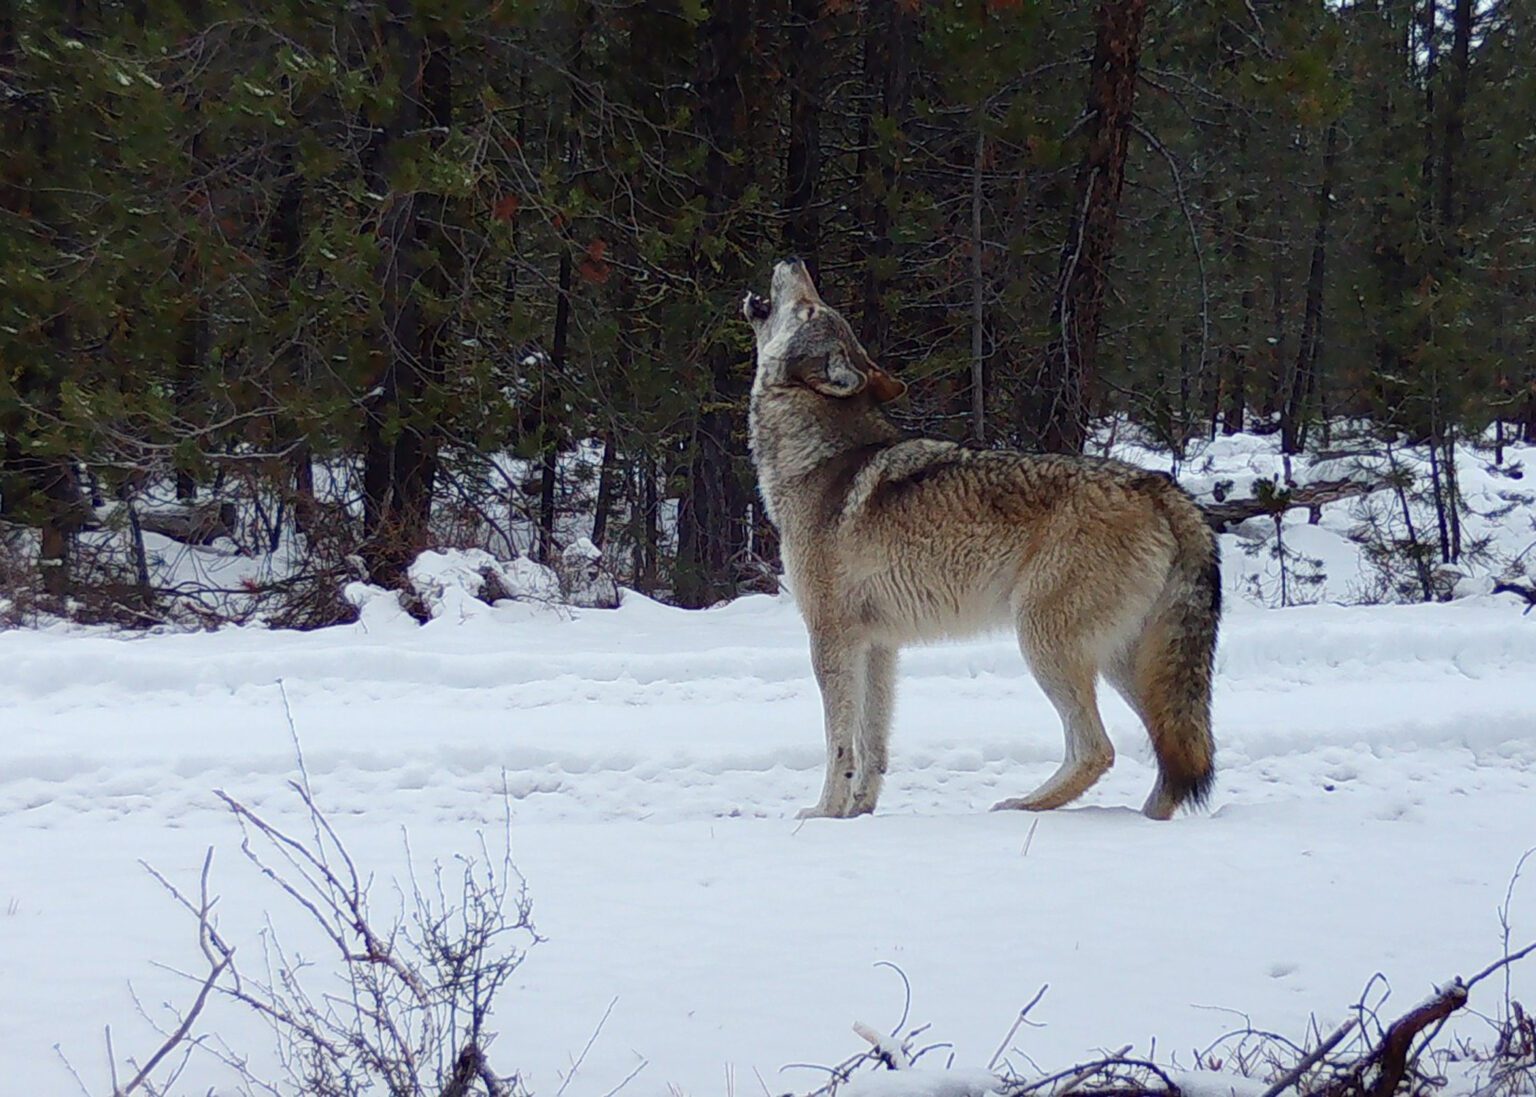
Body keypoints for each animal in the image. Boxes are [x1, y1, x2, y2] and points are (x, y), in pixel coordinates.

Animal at [744, 259, 1220, 821]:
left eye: (810, 308)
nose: (793, 261)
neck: (815, 460)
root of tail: (1159, 486)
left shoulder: (831, 637)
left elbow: (839, 744)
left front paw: (823, 814)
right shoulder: (878, 645)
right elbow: (872, 744)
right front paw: (860, 812)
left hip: (1044, 641)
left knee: (1097, 749)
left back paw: (1023, 806)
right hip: (1127, 663)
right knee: (1174, 754)